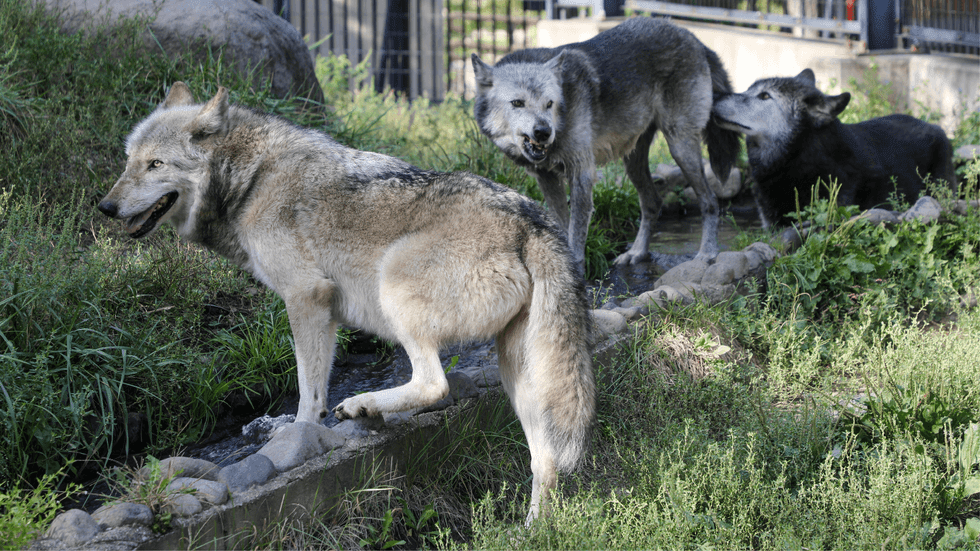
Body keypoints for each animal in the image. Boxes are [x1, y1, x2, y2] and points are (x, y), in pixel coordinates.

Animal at [97, 82, 595, 525]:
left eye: (155, 164)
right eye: (129, 162)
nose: (105, 207)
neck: (251, 179)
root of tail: (533, 222)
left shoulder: (306, 297)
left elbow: (308, 391)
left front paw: (299, 433)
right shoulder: (326, 311)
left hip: (394, 289)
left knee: (435, 385)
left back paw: (363, 405)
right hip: (521, 377)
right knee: (545, 461)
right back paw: (531, 528)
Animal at [471, 16, 741, 270]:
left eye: (549, 104)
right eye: (517, 103)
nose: (544, 132)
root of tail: (694, 38)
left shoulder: (581, 173)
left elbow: (575, 237)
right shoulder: (546, 178)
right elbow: (562, 227)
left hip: (680, 146)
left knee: (710, 201)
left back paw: (707, 254)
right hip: (633, 162)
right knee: (653, 202)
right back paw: (637, 253)